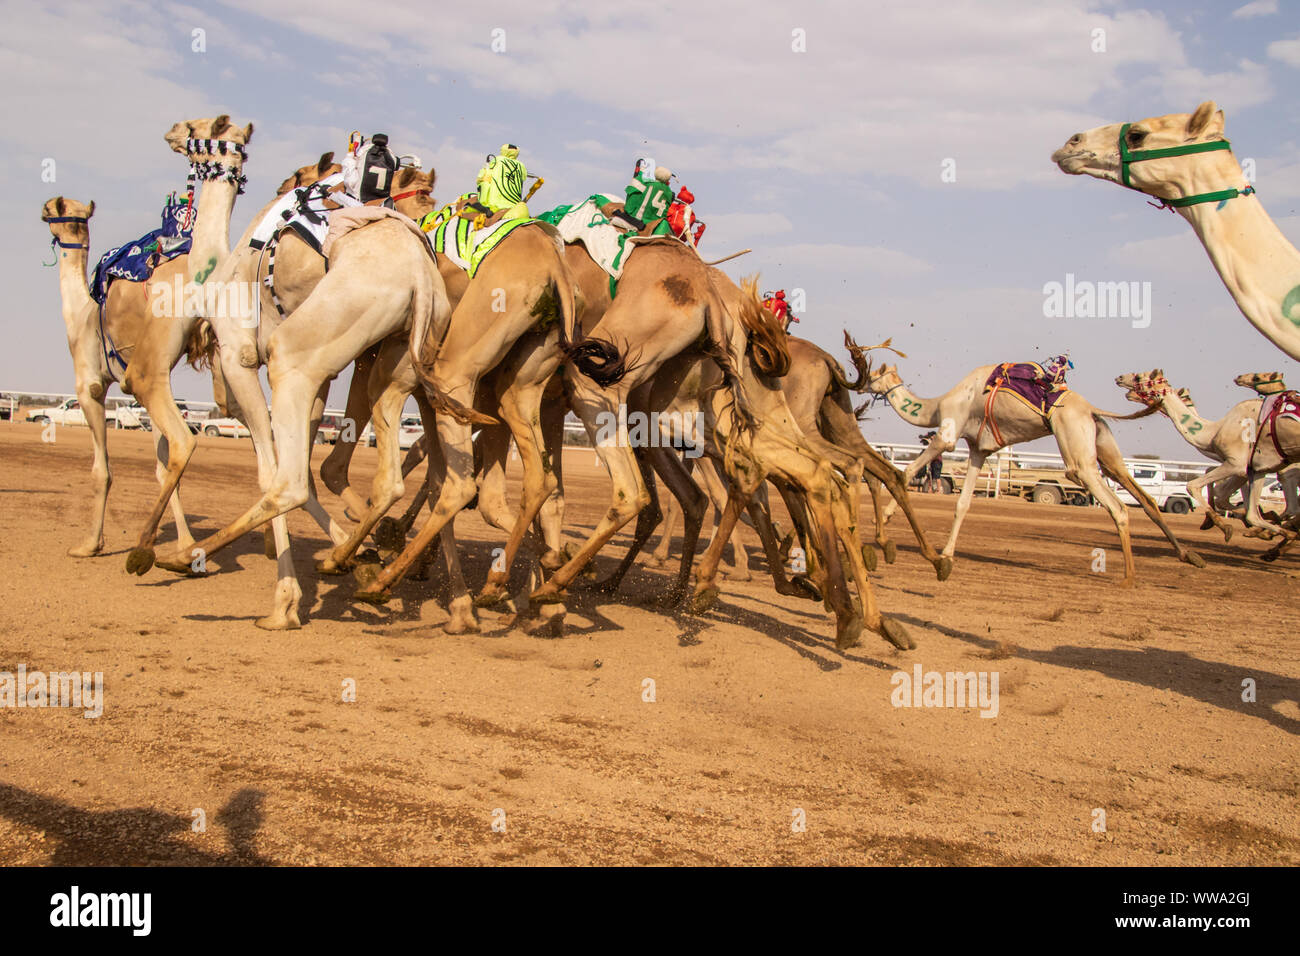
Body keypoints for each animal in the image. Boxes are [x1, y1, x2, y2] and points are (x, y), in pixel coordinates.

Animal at [38, 151, 335, 561]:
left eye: (60, 207)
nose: (44, 208)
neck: (80, 313)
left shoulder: (90, 386)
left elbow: (103, 469)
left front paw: (89, 544)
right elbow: (162, 467)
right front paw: (184, 539)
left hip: (152, 369)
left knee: (187, 439)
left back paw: (144, 548)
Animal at [864, 361, 1205, 585]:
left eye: (873, 374)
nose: (860, 381)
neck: (936, 406)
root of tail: (1092, 409)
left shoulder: (948, 433)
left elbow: (907, 472)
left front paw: (887, 523)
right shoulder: (978, 449)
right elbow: (963, 503)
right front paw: (947, 554)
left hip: (1075, 448)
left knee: (1116, 505)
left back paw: (1129, 577)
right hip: (1104, 446)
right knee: (1144, 497)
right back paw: (1190, 556)